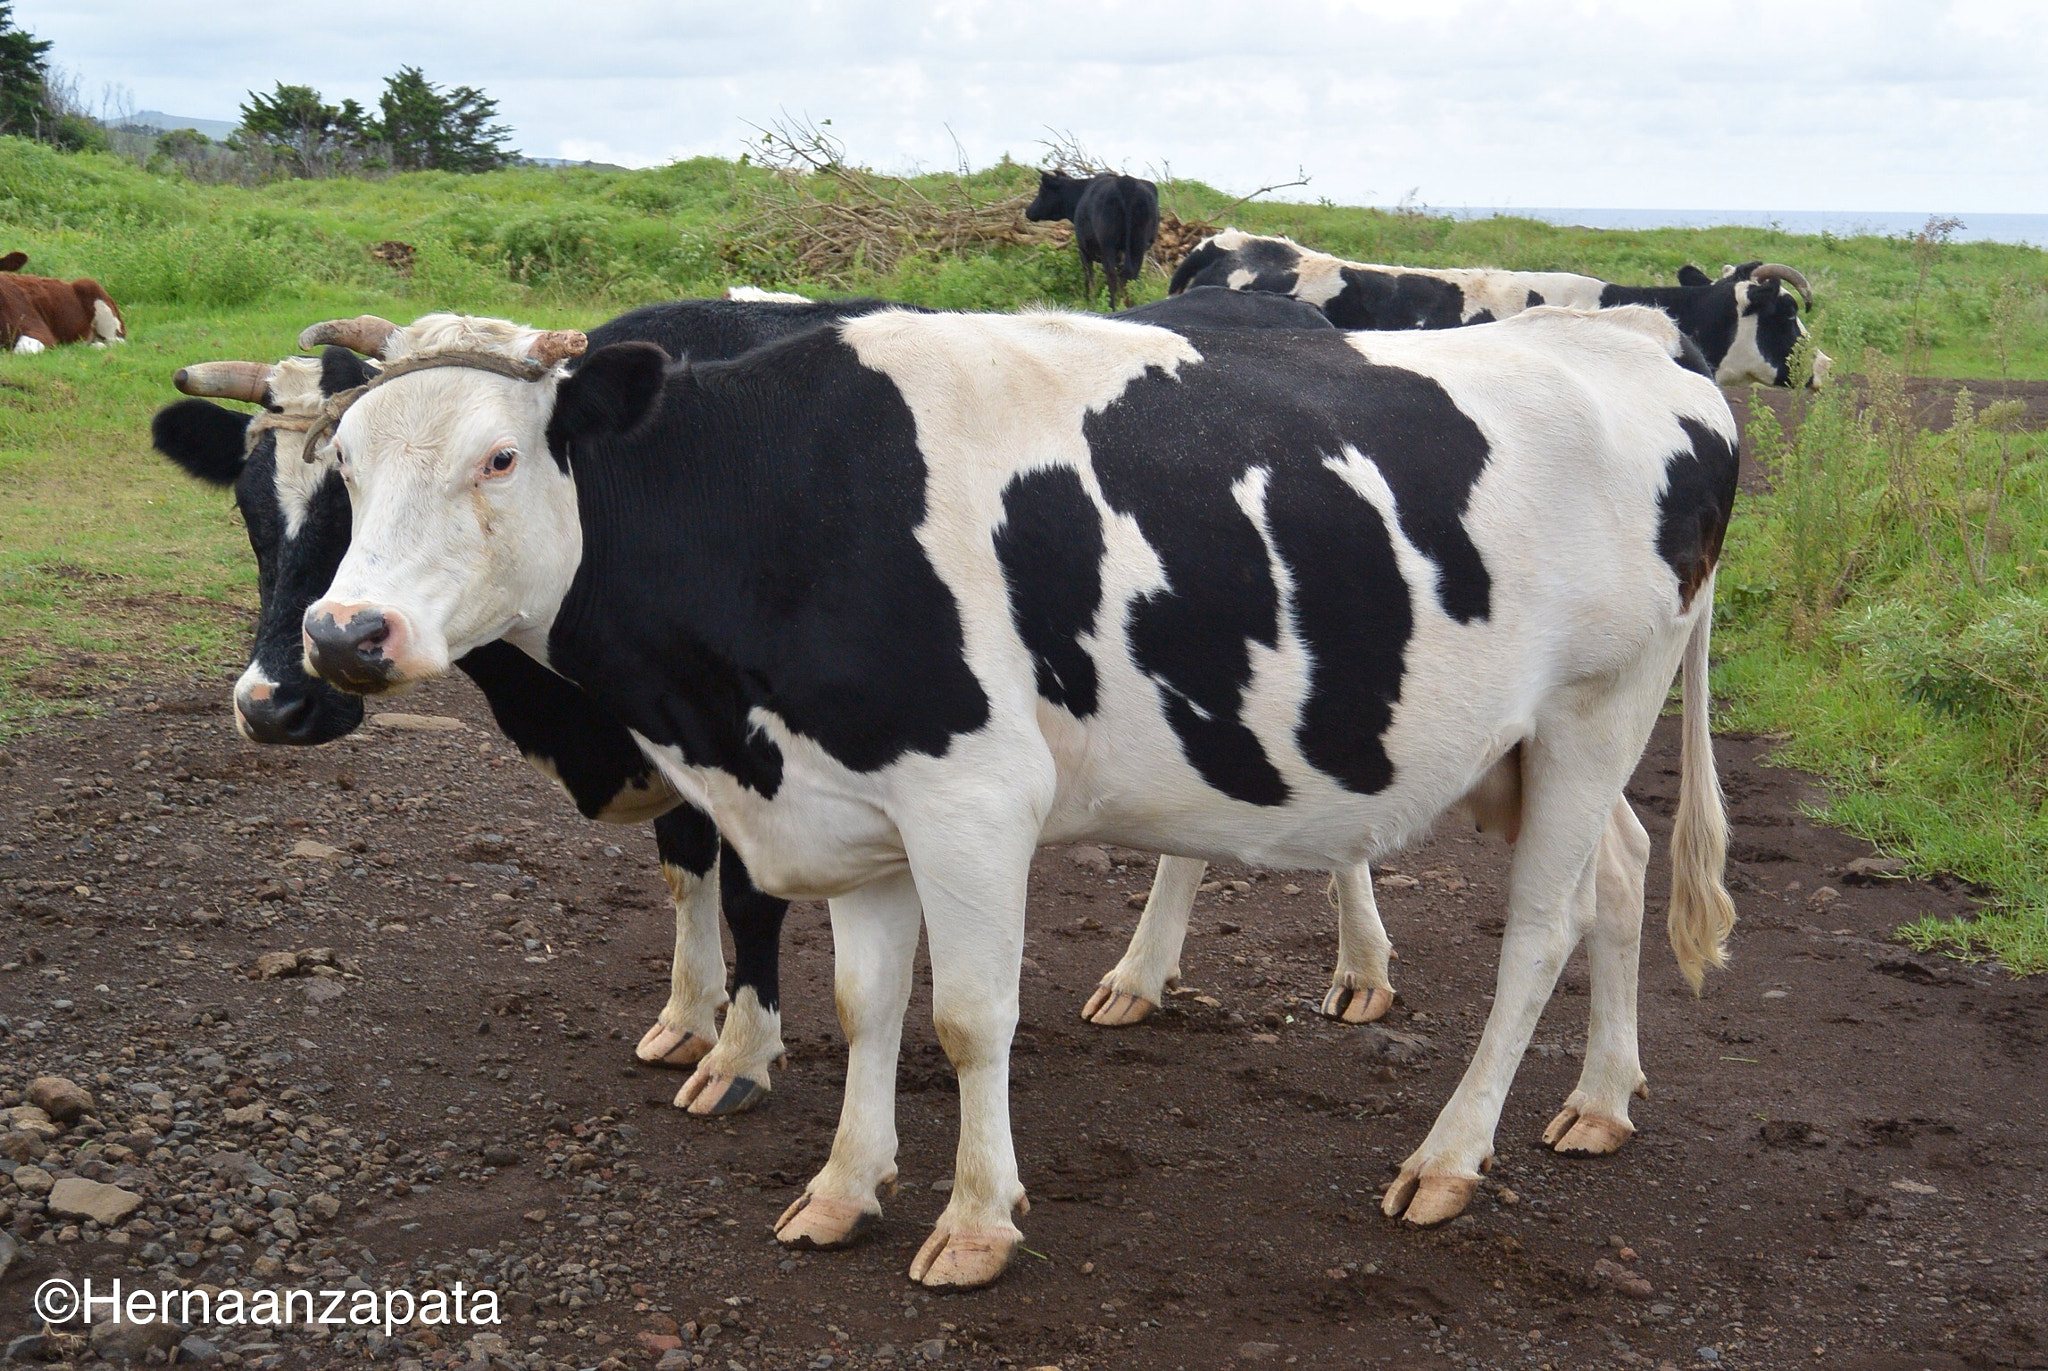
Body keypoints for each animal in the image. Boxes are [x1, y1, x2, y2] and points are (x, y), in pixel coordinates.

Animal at [151, 289, 1408, 1116]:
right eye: (262, 505)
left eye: (494, 463)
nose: (278, 698)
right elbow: (683, 875)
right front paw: (685, 1014)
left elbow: (755, 897)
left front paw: (741, 1053)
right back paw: (1144, 980)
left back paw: (1354, 969)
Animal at [295, 298, 1739, 1290]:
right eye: (345, 468)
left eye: (497, 459)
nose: (345, 633)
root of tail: (1640, 347)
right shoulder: (857, 802)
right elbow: (864, 1002)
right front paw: (843, 1186)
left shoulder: (970, 796)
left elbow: (969, 1017)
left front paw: (976, 1220)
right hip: (1532, 745)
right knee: (1620, 872)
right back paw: (1600, 1101)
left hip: (1598, 704)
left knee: (1538, 932)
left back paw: (1446, 1158)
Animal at [1025, 171, 1161, 309]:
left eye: (1042, 190)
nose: (1028, 211)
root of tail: (1127, 182)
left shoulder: (1083, 250)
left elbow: (1089, 278)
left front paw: (1089, 299)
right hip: (1139, 245)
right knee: (1130, 275)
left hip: (1108, 244)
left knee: (1112, 275)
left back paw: (1111, 306)